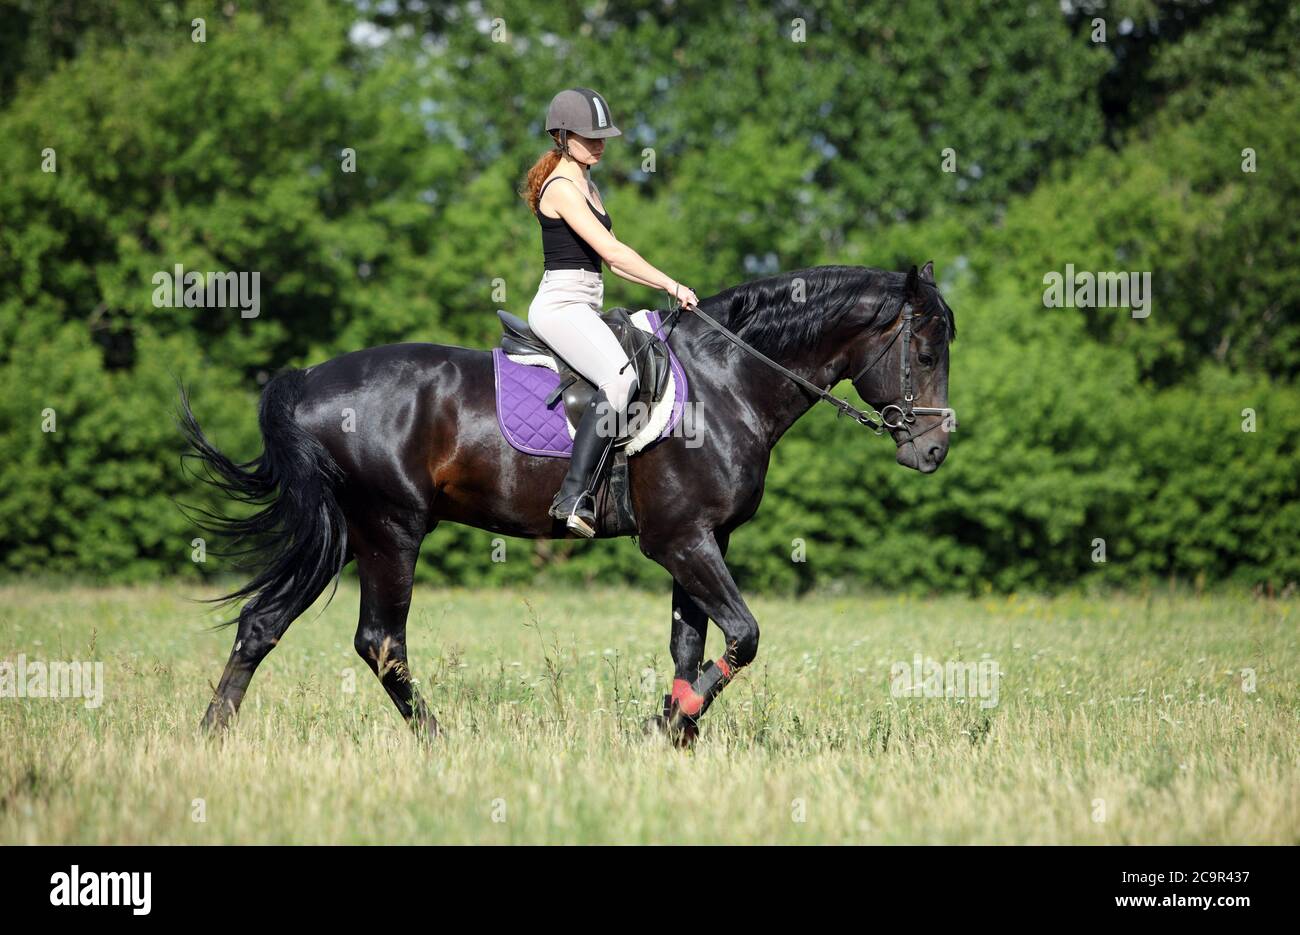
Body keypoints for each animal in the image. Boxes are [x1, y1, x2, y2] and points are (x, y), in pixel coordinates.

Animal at [180, 261, 956, 742]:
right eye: (924, 351)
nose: (934, 451)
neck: (727, 381)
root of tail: (309, 379)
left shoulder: (702, 538)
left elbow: (689, 644)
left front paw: (676, 731)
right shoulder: (681, 540)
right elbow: (743, 635)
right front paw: (666, 727)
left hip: (342, 533)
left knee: (263, 622)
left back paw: (212, 733)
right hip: (391, 529)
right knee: (380, 641)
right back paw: (439, 739)